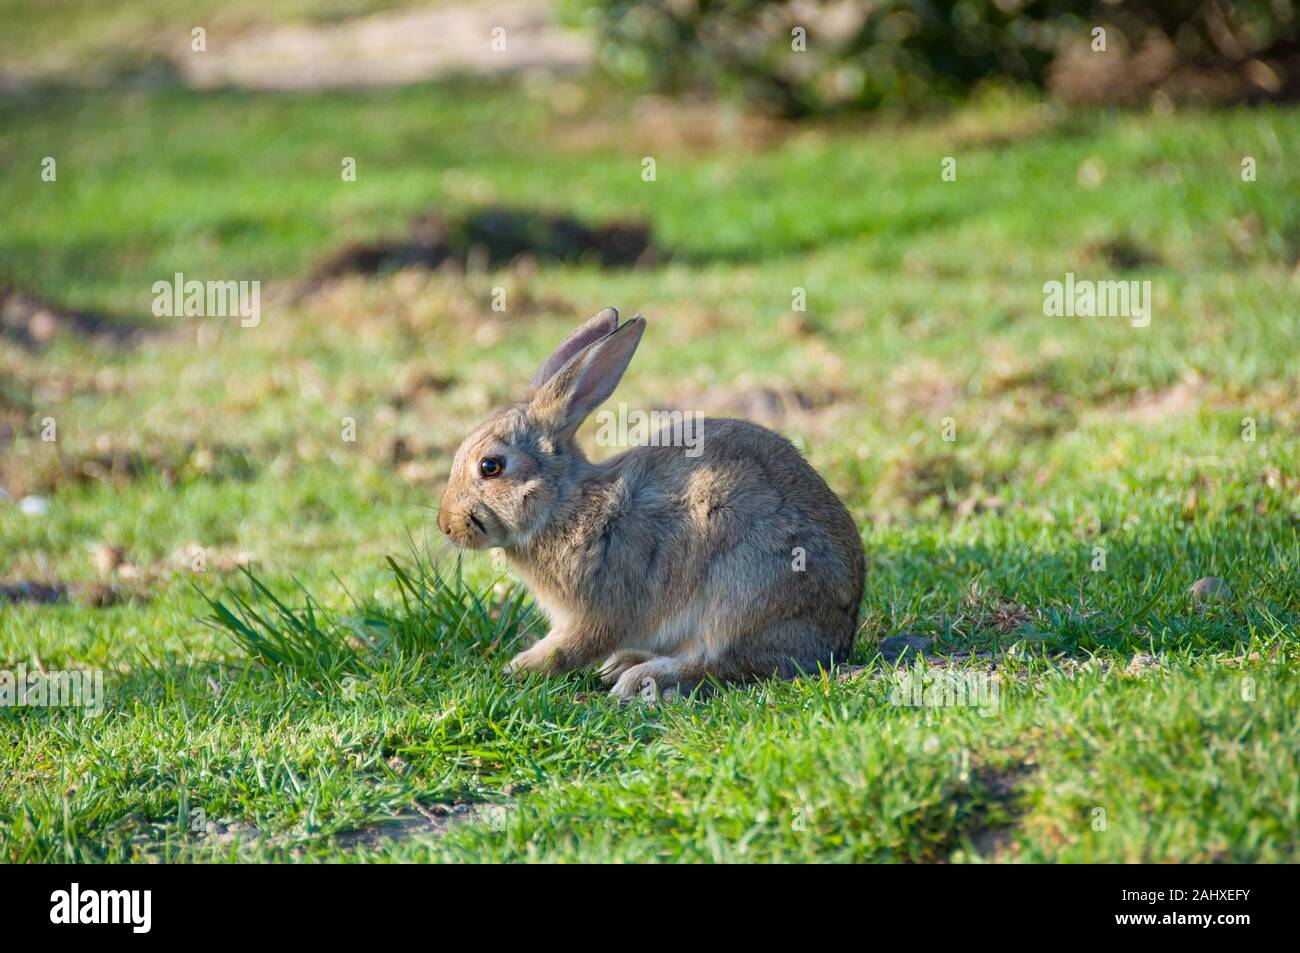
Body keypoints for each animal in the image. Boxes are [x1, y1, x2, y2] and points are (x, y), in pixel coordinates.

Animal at [437, 307, 864, 700]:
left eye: (490, 466)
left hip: (743, 589)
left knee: (722, 662)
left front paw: (520, 667)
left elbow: (572, 646)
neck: (562, 504)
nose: (446, 525)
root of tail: (838, 637)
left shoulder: (599, 608)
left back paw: (642, 678)